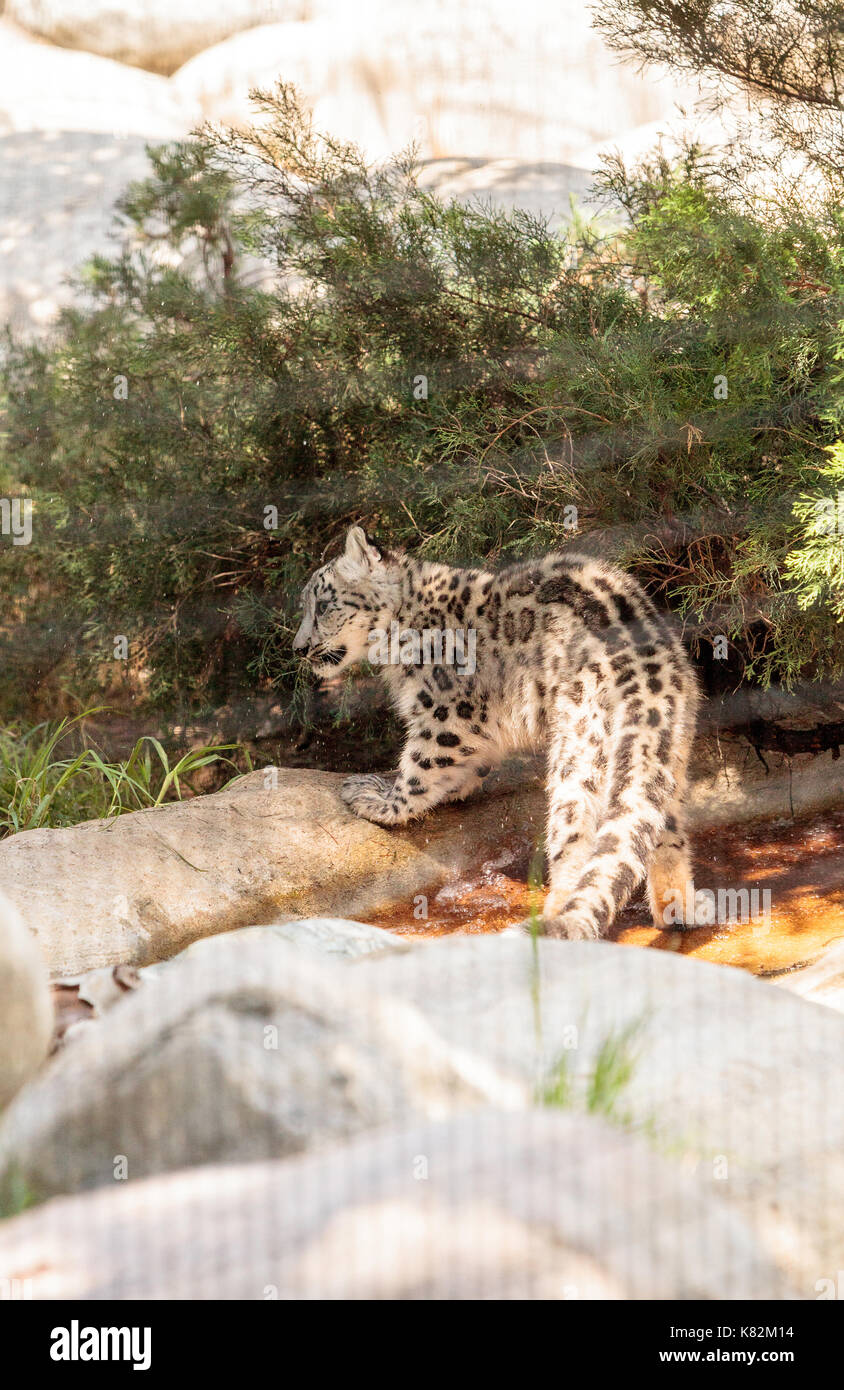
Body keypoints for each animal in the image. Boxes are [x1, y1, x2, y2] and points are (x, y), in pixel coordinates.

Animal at [293, 525, 699, 940]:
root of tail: (648, 672)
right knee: (662, 831)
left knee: (577, 841)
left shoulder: (445, 712)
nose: (299, 648)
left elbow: (420, 767)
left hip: (580, 752)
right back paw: (678, 909)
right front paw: (454, 788)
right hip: (664, 754)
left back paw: (554, 917)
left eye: (323, 605)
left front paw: (380, 801)